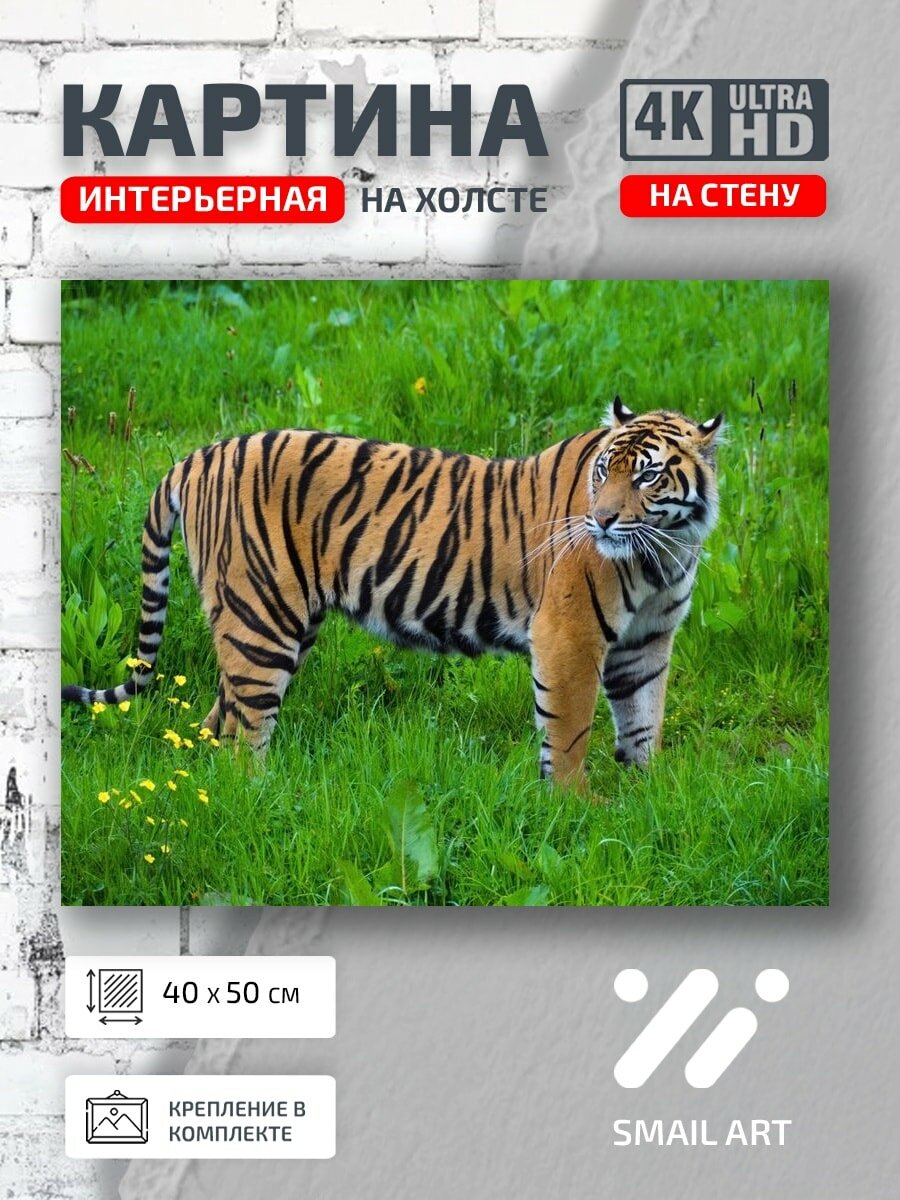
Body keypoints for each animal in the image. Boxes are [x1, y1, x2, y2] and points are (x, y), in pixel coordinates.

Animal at [62, 398, 722, 794]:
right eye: (605, 470)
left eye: (647, 475)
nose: (602, 520)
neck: (667, 548)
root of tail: (199, 455)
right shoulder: (570, 634)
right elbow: (570, 727)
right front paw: (574, 808)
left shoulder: (647, 640)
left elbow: (643, 716)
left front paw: (647, 794)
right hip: (261, 622)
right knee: (241, 736)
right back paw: (259, 801)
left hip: (271, 625)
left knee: (217, 721)